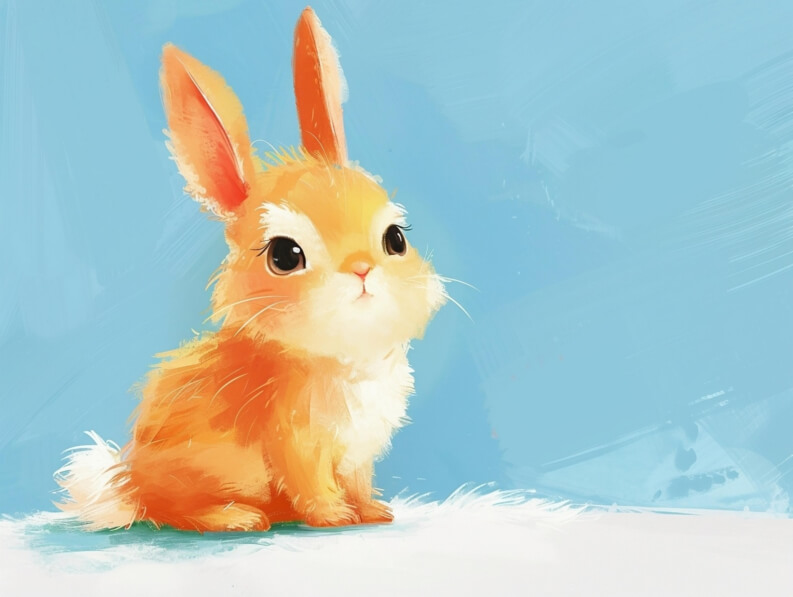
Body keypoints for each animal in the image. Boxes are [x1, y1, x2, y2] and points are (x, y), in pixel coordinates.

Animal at [53, 7, 447, 532]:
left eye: (395, 240)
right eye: (284, 256)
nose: (362, 270)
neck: (340, 356)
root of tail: (127, 487)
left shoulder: (358, 456)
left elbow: (360, 483)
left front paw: (373, 513)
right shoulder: (295, 446)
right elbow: (312, 486)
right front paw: (334, 517)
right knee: (173, 512)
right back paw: (236, 517)